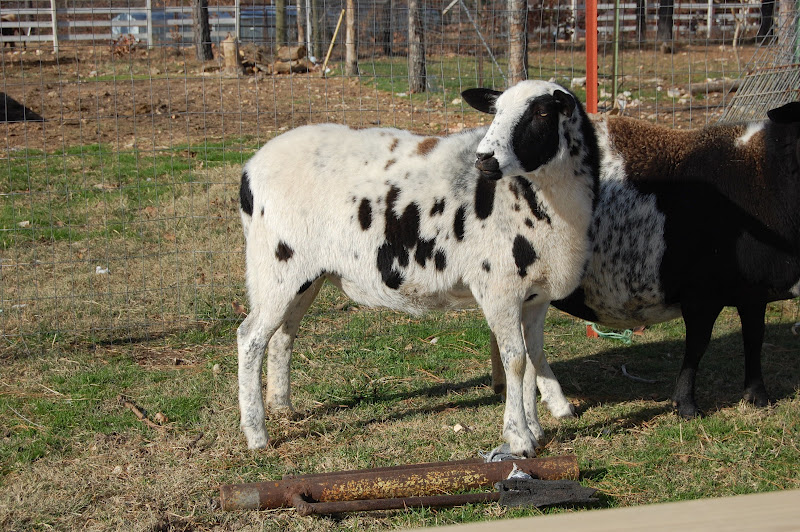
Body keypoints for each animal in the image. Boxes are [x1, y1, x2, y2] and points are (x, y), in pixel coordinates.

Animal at [236, 80, 600, 456]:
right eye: (496, 111)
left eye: (542, 112)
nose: (484, 159)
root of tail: (251, 169)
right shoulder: (499, 288)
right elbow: (515, 361)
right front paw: (519, 438)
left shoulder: (535, 296)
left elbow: (533, 356)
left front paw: (536, 430)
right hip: (276, 265)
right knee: (250, 338)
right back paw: (257, 434)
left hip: (305, 276)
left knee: (283, 334)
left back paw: (282, 407)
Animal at [490, 100, 800, 419]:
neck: (764, 177)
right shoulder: (702, 292)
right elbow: (697, 346)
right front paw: (686, 405)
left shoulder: (753, 289)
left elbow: (754, 337)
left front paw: (757, 396)